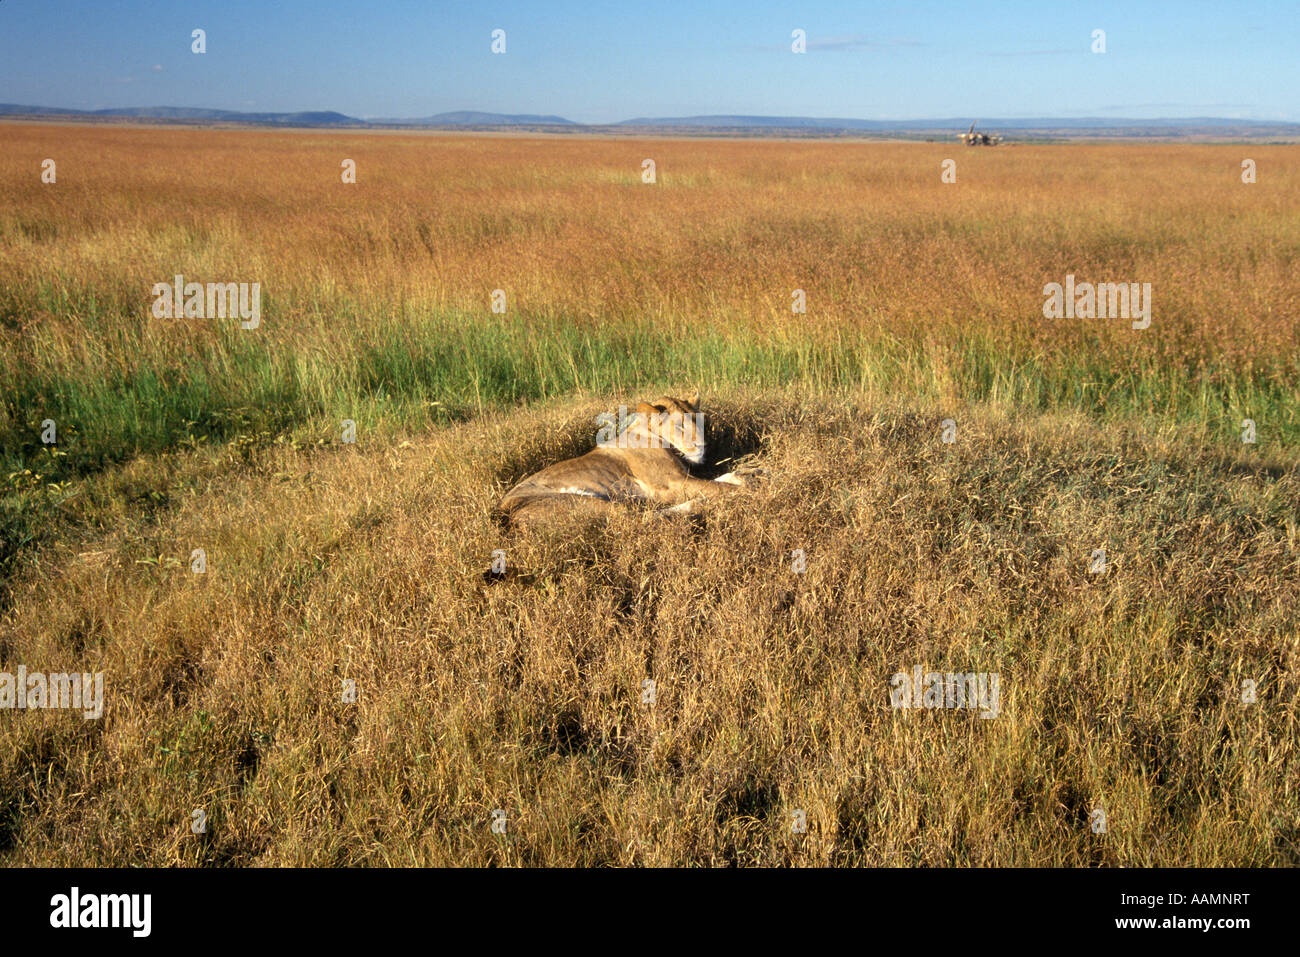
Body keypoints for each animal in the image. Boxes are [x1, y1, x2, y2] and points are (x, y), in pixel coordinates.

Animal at [497, 392, 757, 528]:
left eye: (699, 421)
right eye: (680, 426)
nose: (703, 445)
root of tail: (502, 516)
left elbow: (725, 478)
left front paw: (751, 473)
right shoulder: (671, 485)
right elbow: (721, 487)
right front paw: (752, 491)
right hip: (588, 503)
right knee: (638, 519)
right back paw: (697, 505)